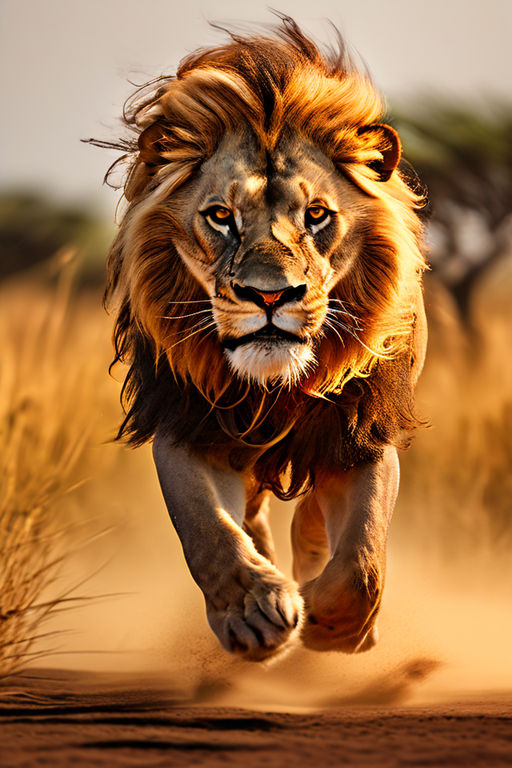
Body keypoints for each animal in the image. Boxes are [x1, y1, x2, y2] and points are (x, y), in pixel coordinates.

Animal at [96, 16, 427, 660]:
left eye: (317, 215)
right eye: (221, 217)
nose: (271, 297)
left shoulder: (363, 428)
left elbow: (363, 556)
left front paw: (335, 625)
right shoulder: (187, 421)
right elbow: (208, 529)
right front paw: (252, 611)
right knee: (247, 519)